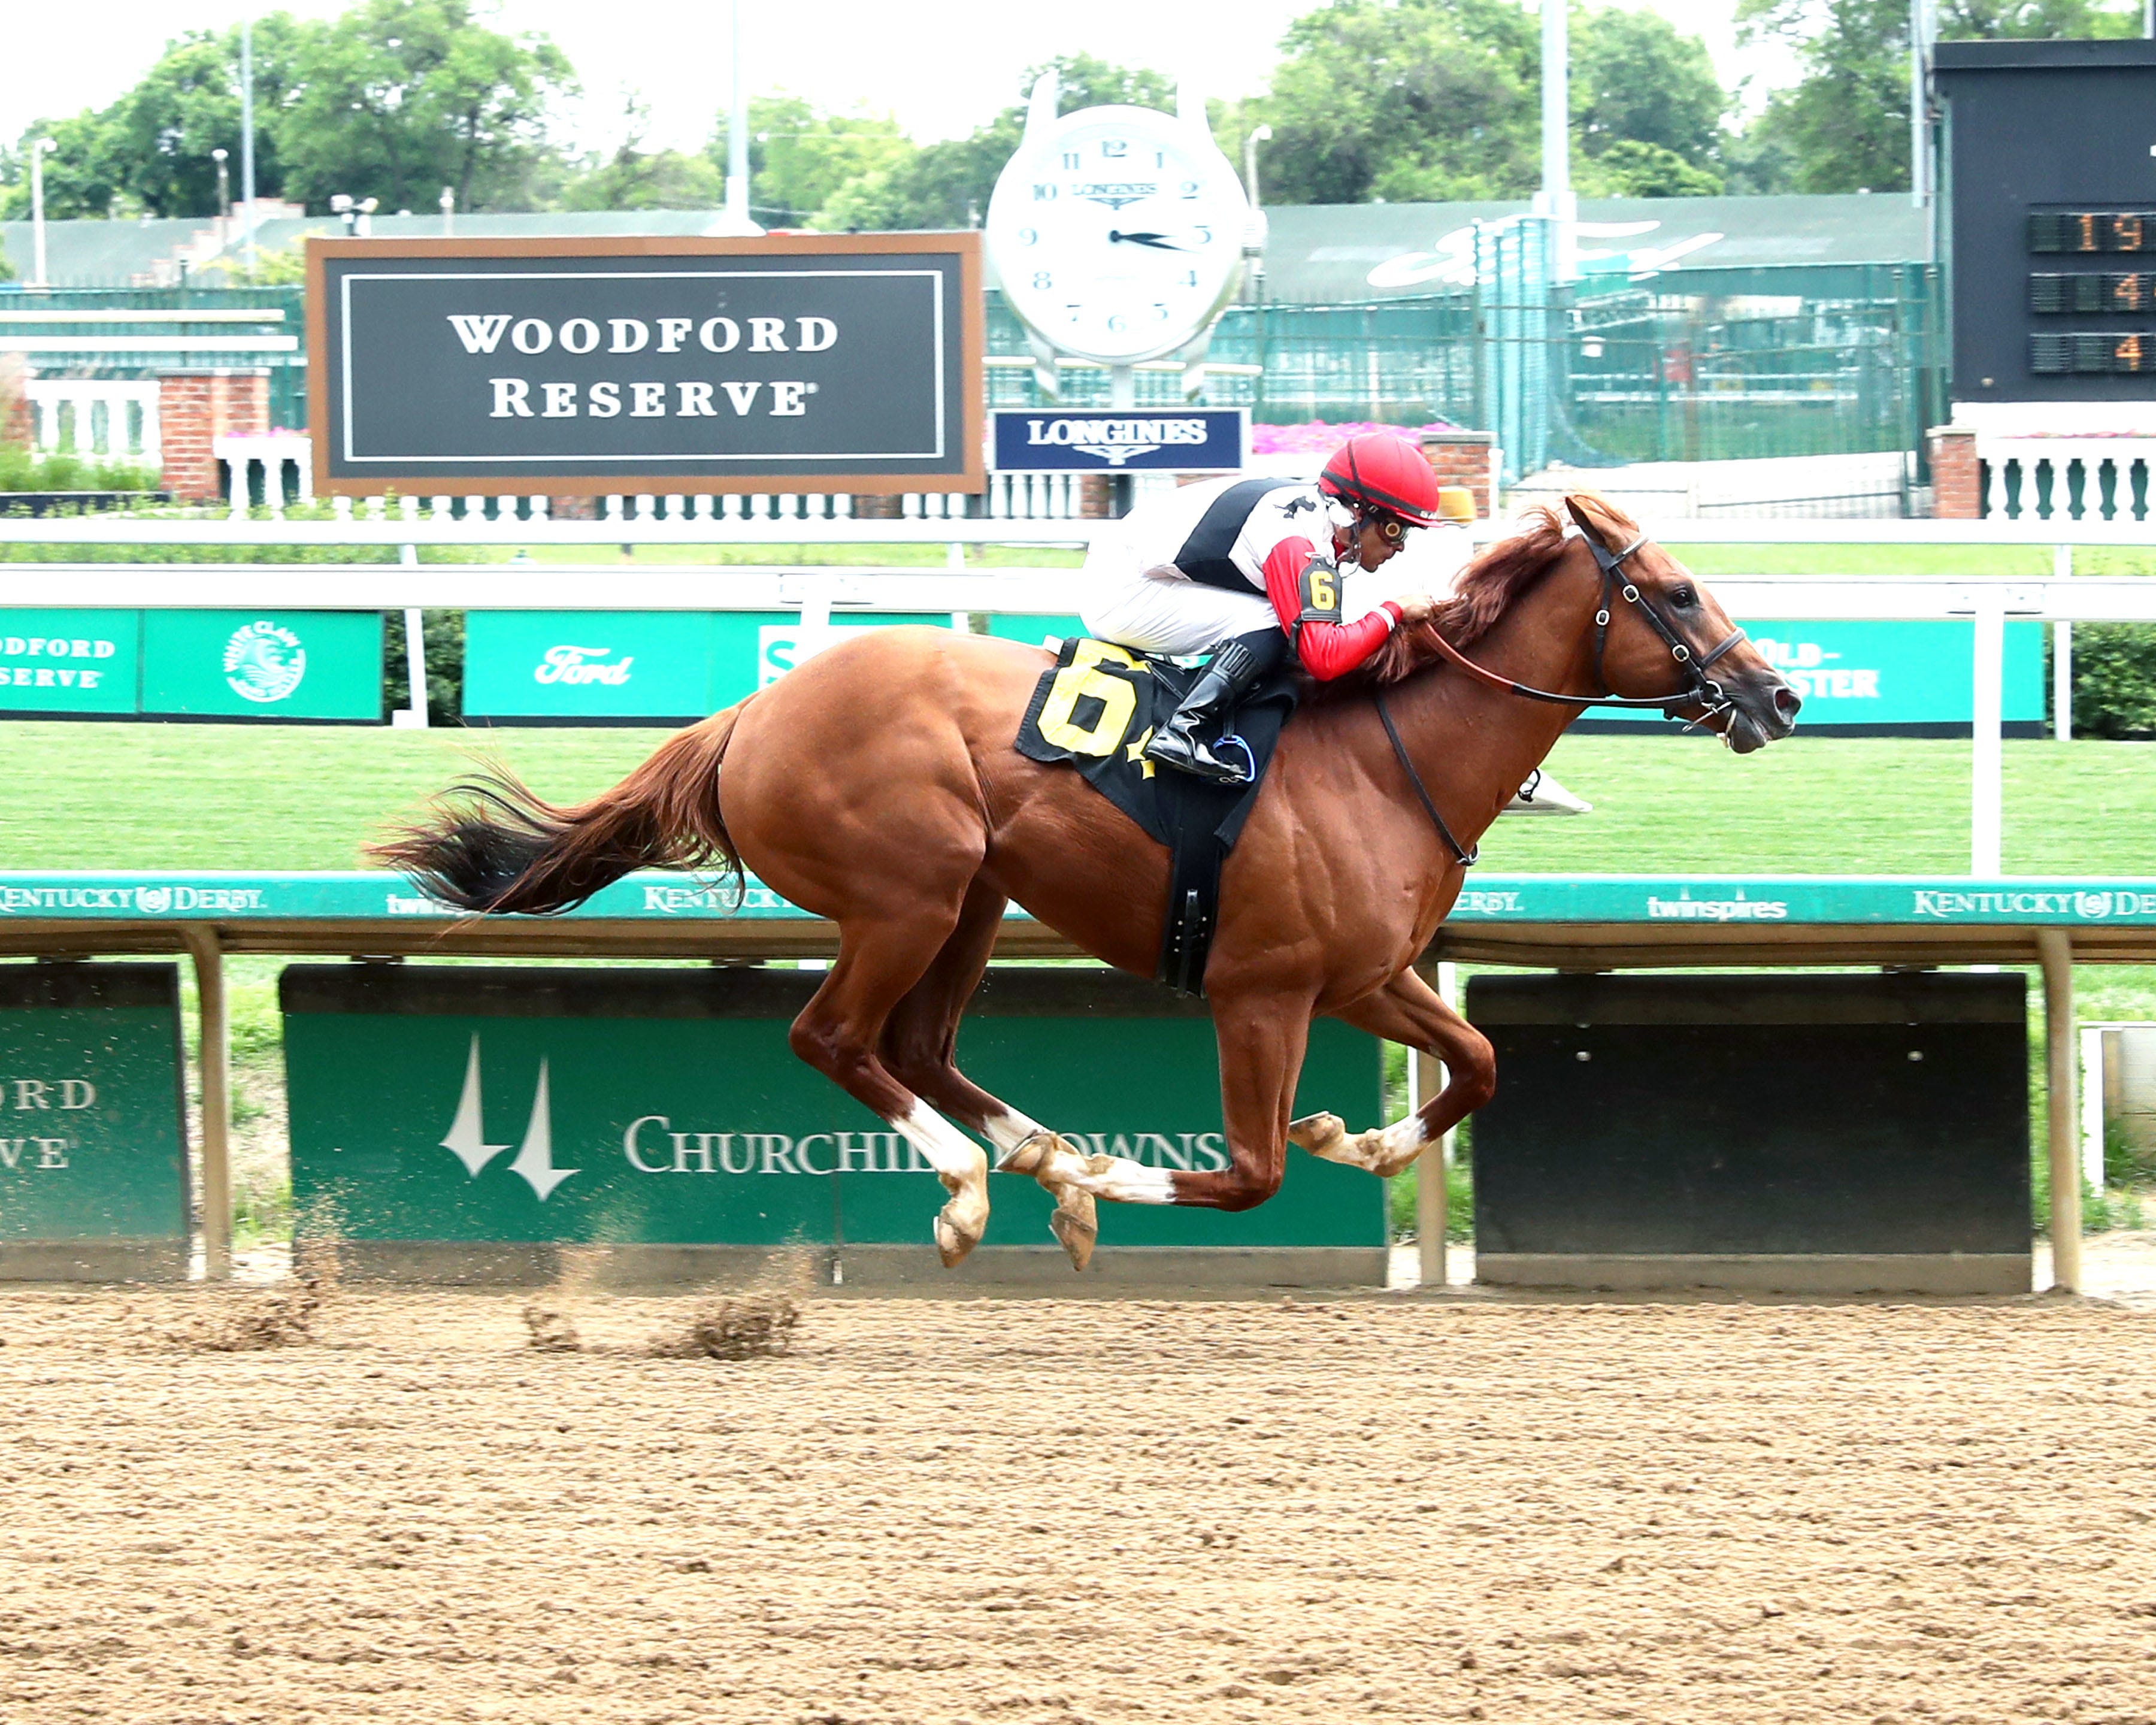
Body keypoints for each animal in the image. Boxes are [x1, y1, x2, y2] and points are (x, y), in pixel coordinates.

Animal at [377, 495, 1800, 1271]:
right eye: (1679, 591)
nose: (1780, 696)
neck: (1389, 759)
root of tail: (751, 713)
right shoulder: (1259, 993)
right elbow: (1251, 1172)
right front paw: (1127, 1178)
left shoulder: (1366, 975)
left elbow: (1481, 1065)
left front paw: (1356, 1137)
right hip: (910, 890)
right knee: (834, 1038)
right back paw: (979, 1187)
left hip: (973, 900)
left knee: (918, 1046)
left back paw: (1037, 1157)